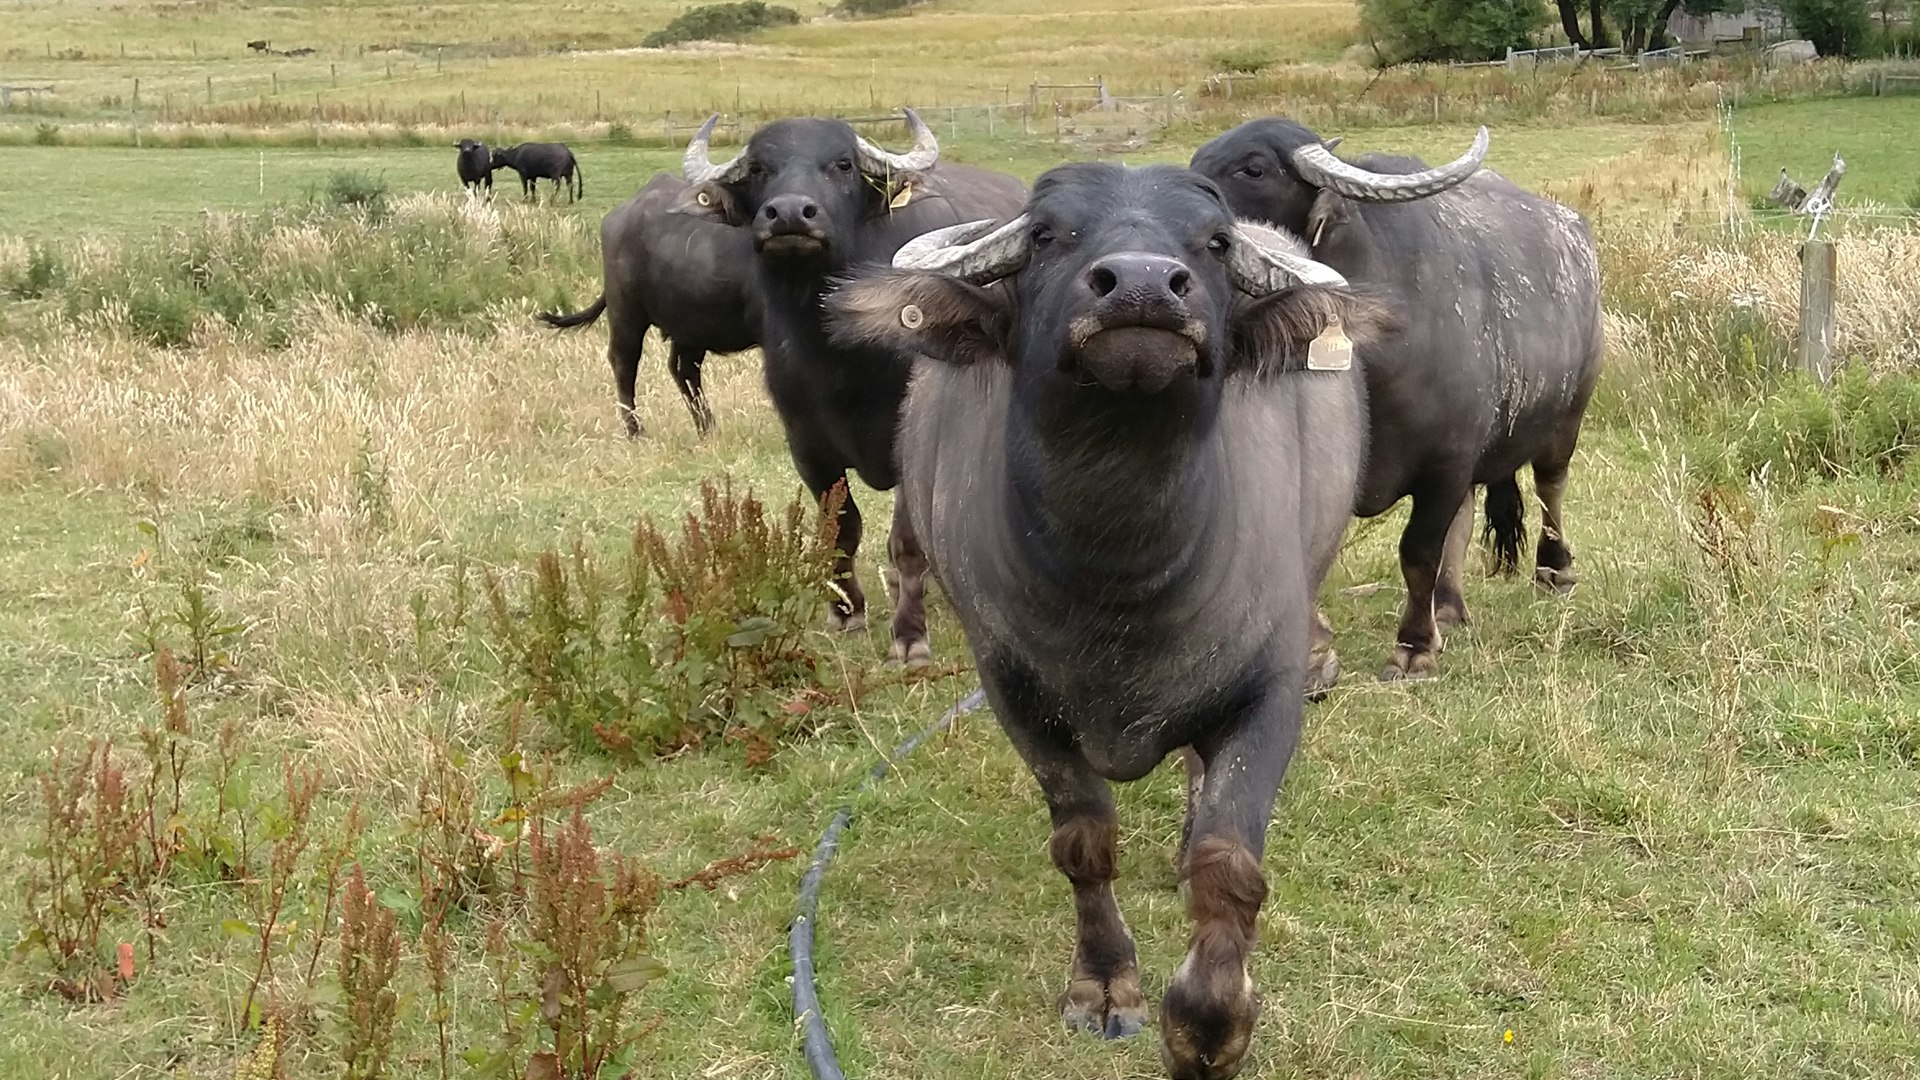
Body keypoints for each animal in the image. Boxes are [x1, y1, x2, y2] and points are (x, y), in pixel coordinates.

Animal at [538, 173, 759, 437]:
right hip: (625, 311)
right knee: (624, 360)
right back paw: (636, 430)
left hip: (691, 326)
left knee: (683, 368)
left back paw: (707, 428)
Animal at [677, 110, 1025, 664]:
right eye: (759, 168)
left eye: (841, 163)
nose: (789, 214)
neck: (837, 355)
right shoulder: (807, 444)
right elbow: (840, 529)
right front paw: (846, 611)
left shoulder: (906, 444)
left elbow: (906, 541)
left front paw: (910, 637)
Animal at [828, 163, 1388, 1079]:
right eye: (1047, 234)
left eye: (1215, 242)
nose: (1141, 286)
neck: (1123, 569)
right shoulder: (1016, 695)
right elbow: (1083, 843)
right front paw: (1103, 987)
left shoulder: (1270, 692)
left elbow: (1230, 864)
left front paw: (1208, 1030)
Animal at [1192, 120, 1604, 680]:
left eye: (1253, 168)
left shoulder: (1446, 461)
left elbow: (1418, 551)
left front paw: (1414, 647)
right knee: (1467, 517)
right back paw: (1448, 606)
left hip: (1568, 417)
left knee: (1550, 488)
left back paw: (1553, 570)